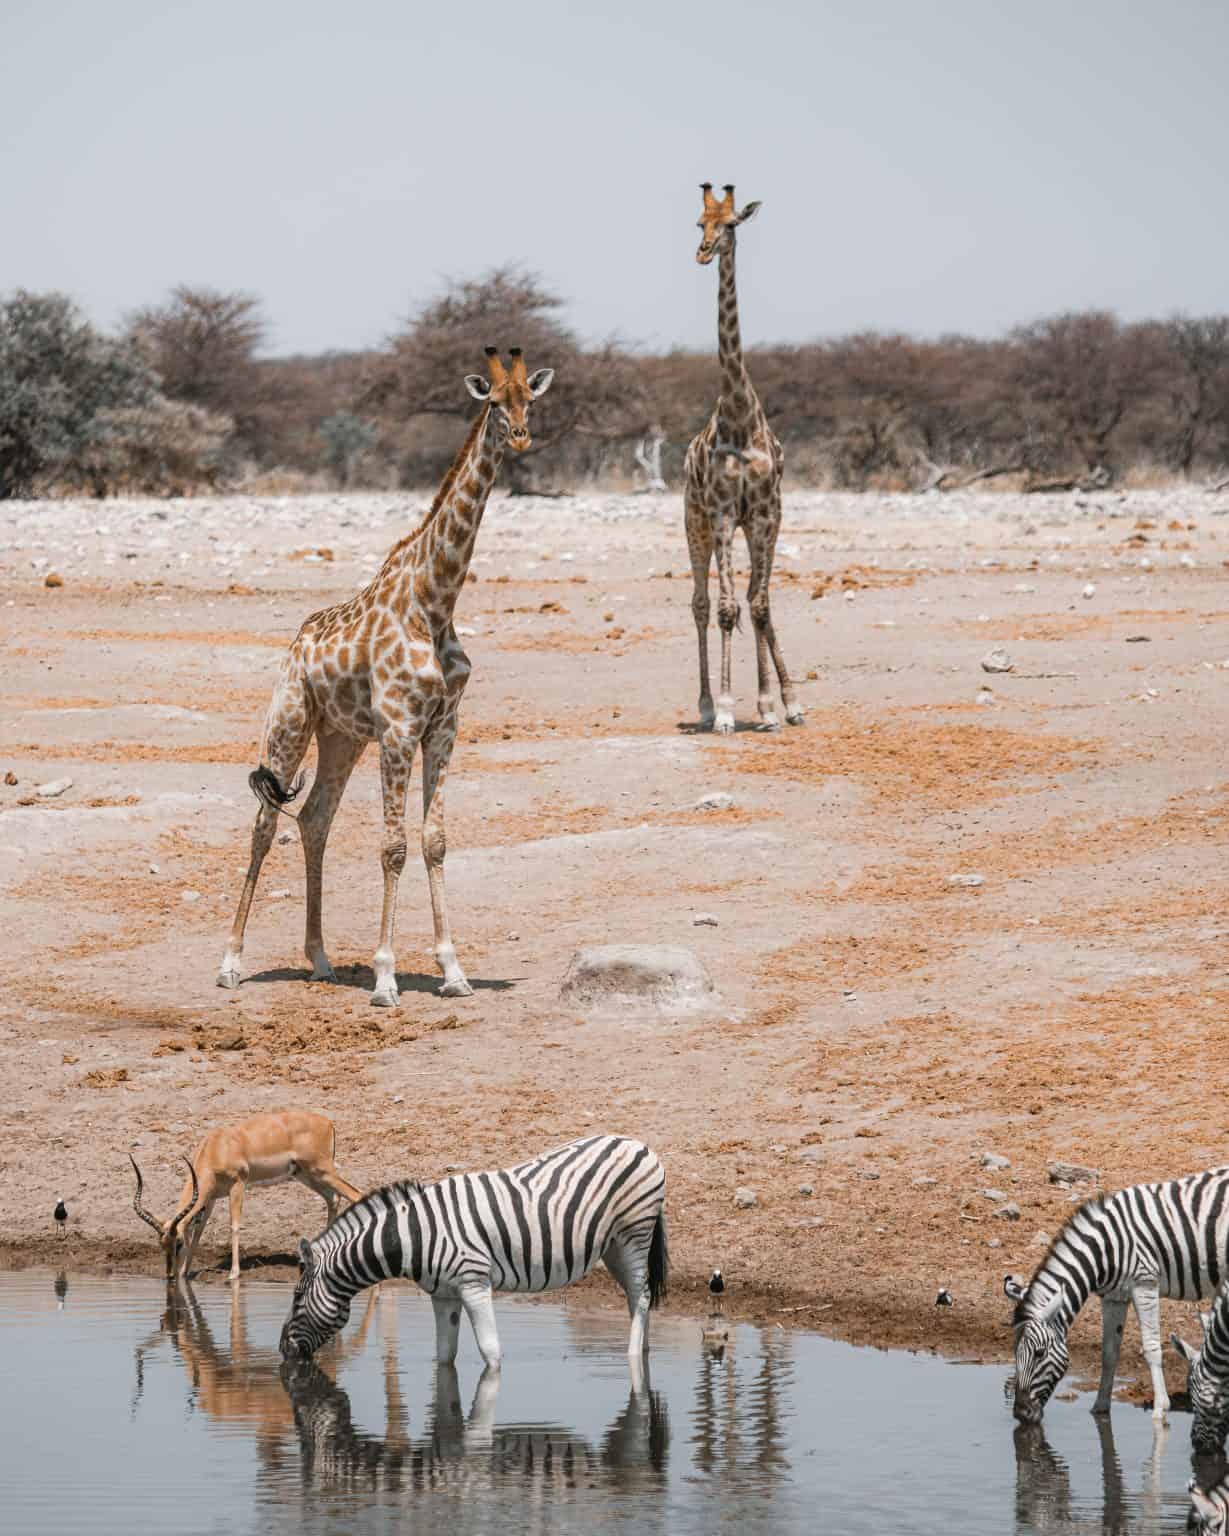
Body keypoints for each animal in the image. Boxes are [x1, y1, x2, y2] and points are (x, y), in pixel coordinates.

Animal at [216, 347, 554, 1006]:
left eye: (531, 397)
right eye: (494, 404)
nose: (523, 437)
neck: (435, 599)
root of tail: (295, 644)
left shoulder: (443, 727)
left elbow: (434, 840)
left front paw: (454, 971)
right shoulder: (399, 727)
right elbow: (393, 846)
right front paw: (385, 977)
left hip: (342, 737)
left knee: (314, 819)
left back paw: (320, 959)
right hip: (290, 721)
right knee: (265, 824)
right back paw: (231, 963)